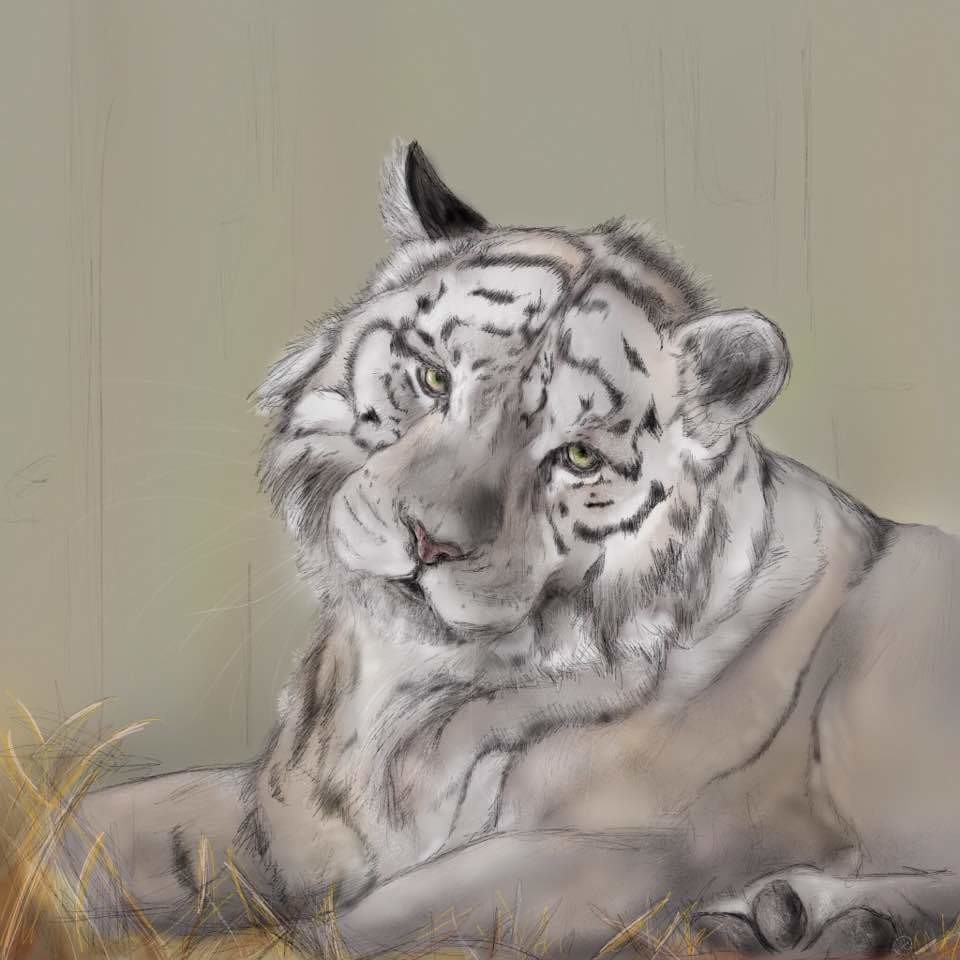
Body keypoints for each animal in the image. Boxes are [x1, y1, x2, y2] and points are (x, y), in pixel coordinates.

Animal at [65, 140, 960, 958]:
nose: (428, 540)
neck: (404, 679)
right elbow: (94, 830)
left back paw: (810, 920)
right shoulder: (287, 808)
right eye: (432, 379)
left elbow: (353, 930)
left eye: (579, 457)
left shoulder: (636, 850)